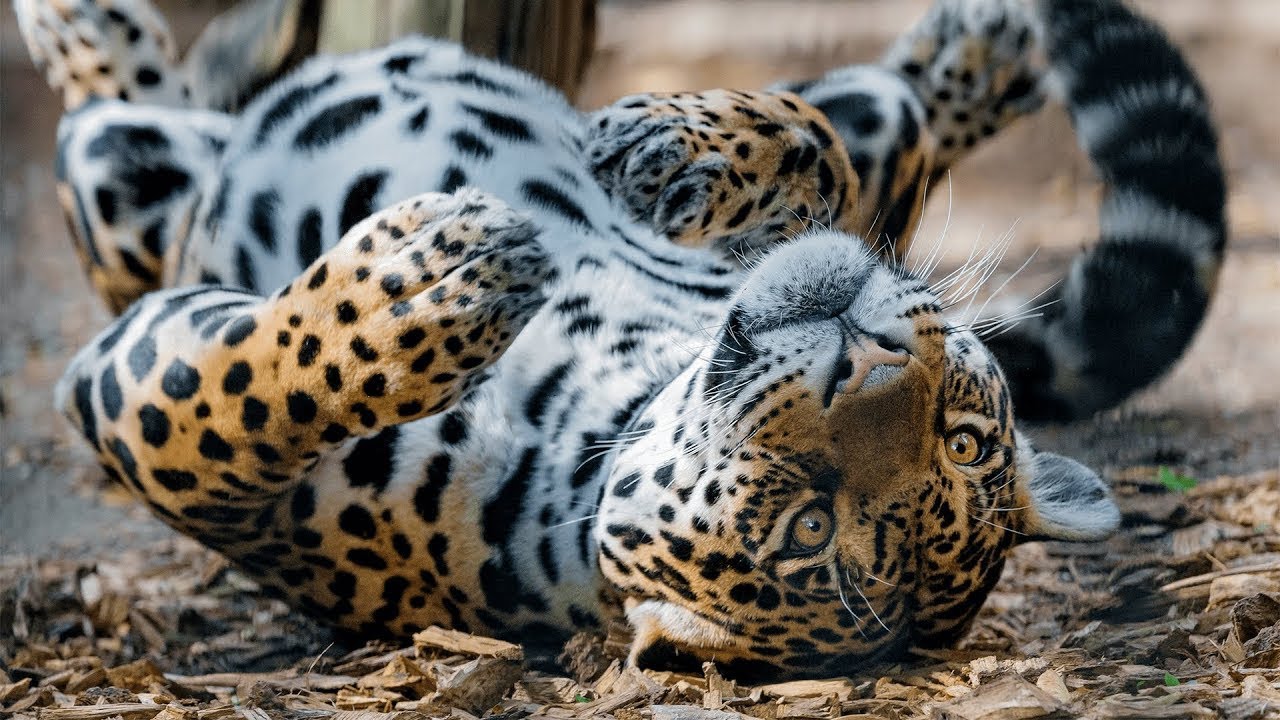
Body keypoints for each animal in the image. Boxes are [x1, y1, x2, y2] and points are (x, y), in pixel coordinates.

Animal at [15, 0, 1224, 680]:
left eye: (808, 528)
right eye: (968, 439)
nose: (869, 355)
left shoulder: (178, 441)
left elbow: (226, 401)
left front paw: (426, 289)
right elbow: (819, 149)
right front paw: (668, 151)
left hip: (125, 202)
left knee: (113, 156)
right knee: (894, 115)